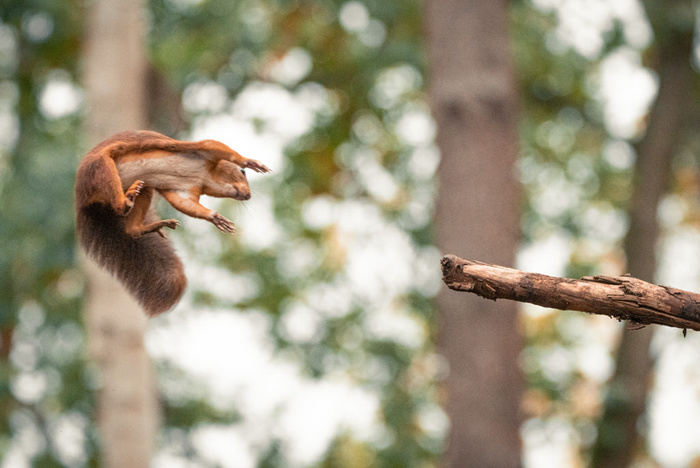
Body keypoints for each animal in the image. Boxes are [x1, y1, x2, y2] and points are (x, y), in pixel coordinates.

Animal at [75, 130, 271, 316]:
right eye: (242, 172)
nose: (248, 195)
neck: (207, 178)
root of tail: (83, 200)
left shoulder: (183, 191)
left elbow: (187, 205)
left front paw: (214, 217)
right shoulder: (201, 152)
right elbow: (213, 145)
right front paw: (250, 162)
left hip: (145, 187)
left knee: (131, 229)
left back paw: (152, 224)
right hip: (101, 169)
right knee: (113, 191)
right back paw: (126, 201)